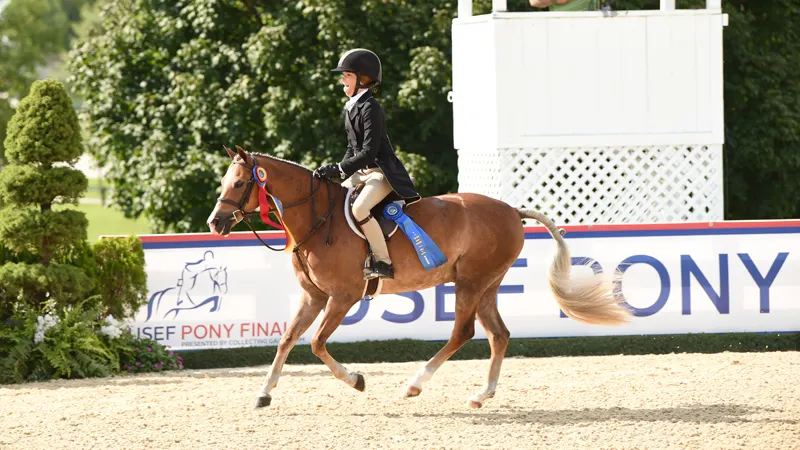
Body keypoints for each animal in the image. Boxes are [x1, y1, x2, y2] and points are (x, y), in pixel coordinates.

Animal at [206, 145, 632, 409]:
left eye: (240, 183)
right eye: (224, 183)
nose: (215, 223)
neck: (317, 219)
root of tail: (511, 210)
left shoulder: (342, 297)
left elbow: (315, 344)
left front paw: (357, 380)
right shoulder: (314, 297)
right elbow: (286, 341)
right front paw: (263, 394)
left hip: (471, 282)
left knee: (464, 332)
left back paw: (415, 383)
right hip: (487, 284)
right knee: (498, 334)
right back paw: (481, 394)